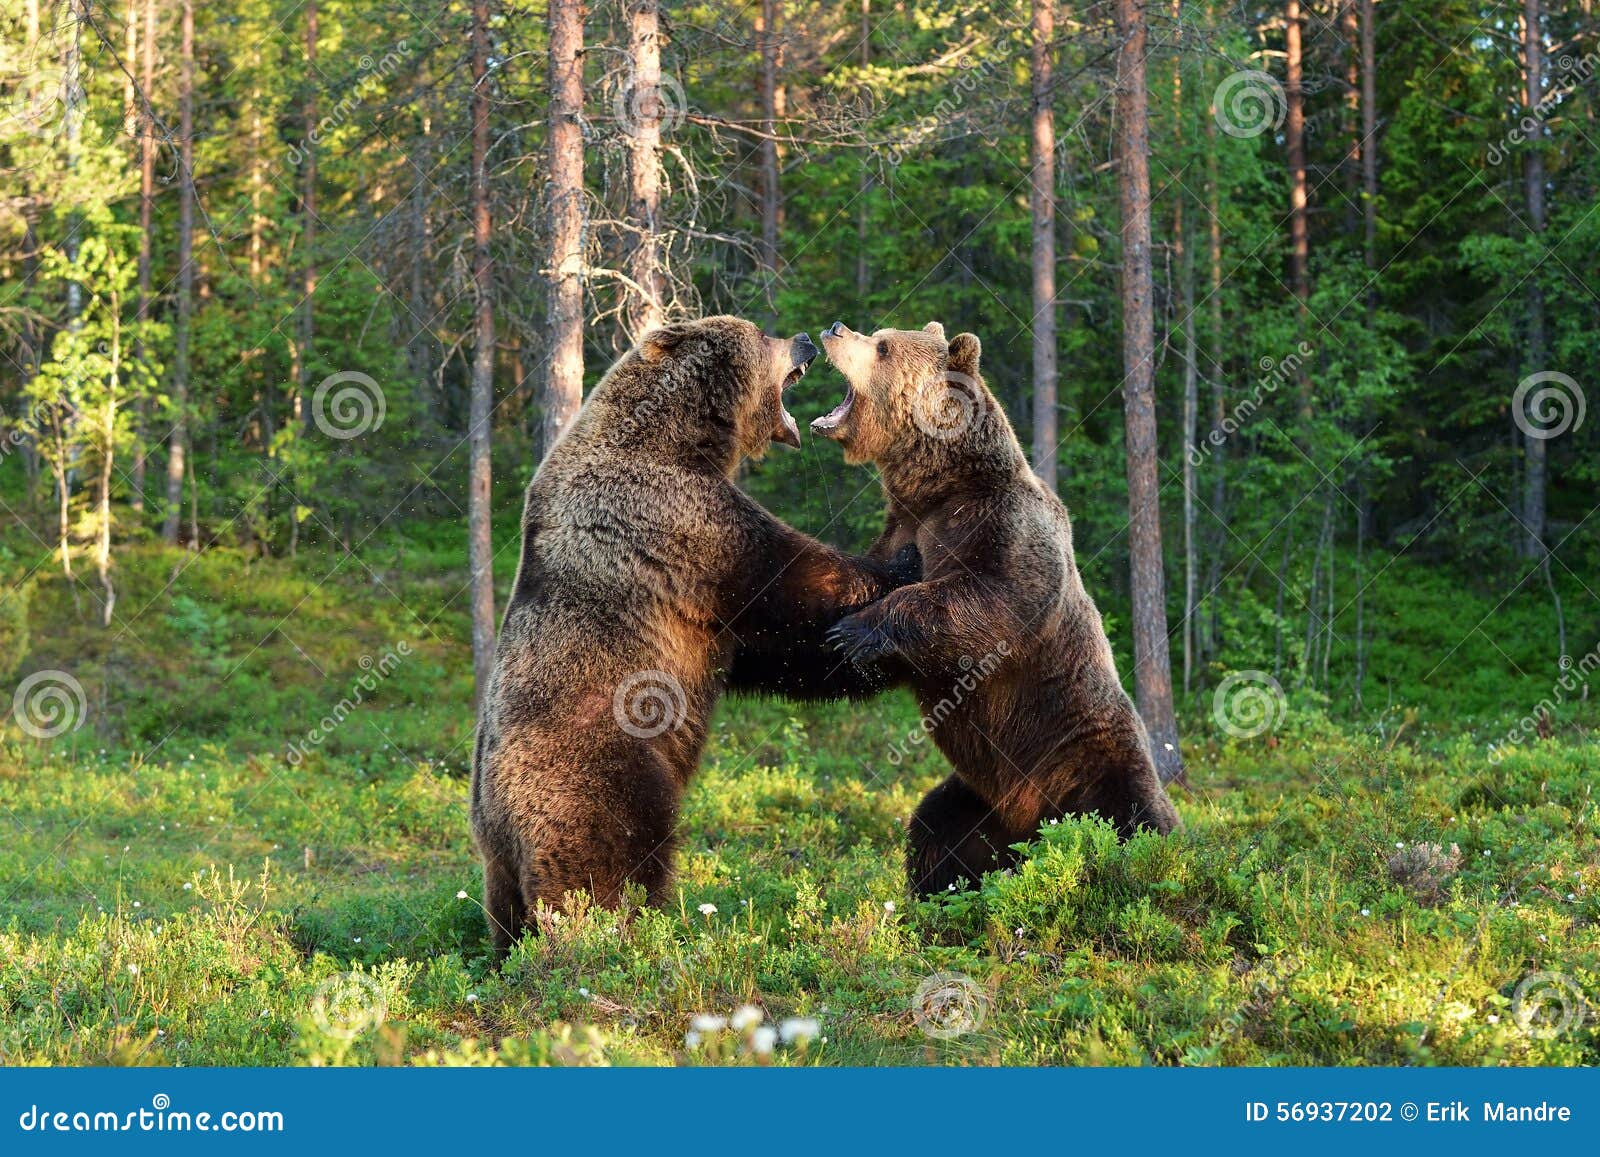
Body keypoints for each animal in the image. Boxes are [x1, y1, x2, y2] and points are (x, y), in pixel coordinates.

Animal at [471, 315, 918, 953]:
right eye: (761, 333)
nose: (806, 337)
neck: (682, 437)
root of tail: (496, 822)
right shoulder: (677, 518)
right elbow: (790, 576)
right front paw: (901, 564)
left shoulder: (712, 614)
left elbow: (783, 650)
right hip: (597, 768)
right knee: (604, 864)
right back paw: (614, 938)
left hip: (500, 865)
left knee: (508, 915)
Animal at [811, 319, 1180, 897]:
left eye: (883, 345)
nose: (834, 328)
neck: (939, 488)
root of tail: (1031, 827)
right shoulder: (904, 531)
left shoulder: (1006, 529)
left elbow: (991, 602)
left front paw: (858, 630)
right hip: (980, 802)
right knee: (934, 828)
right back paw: (934, 896)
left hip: (1090, 761)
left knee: (1136, 821)